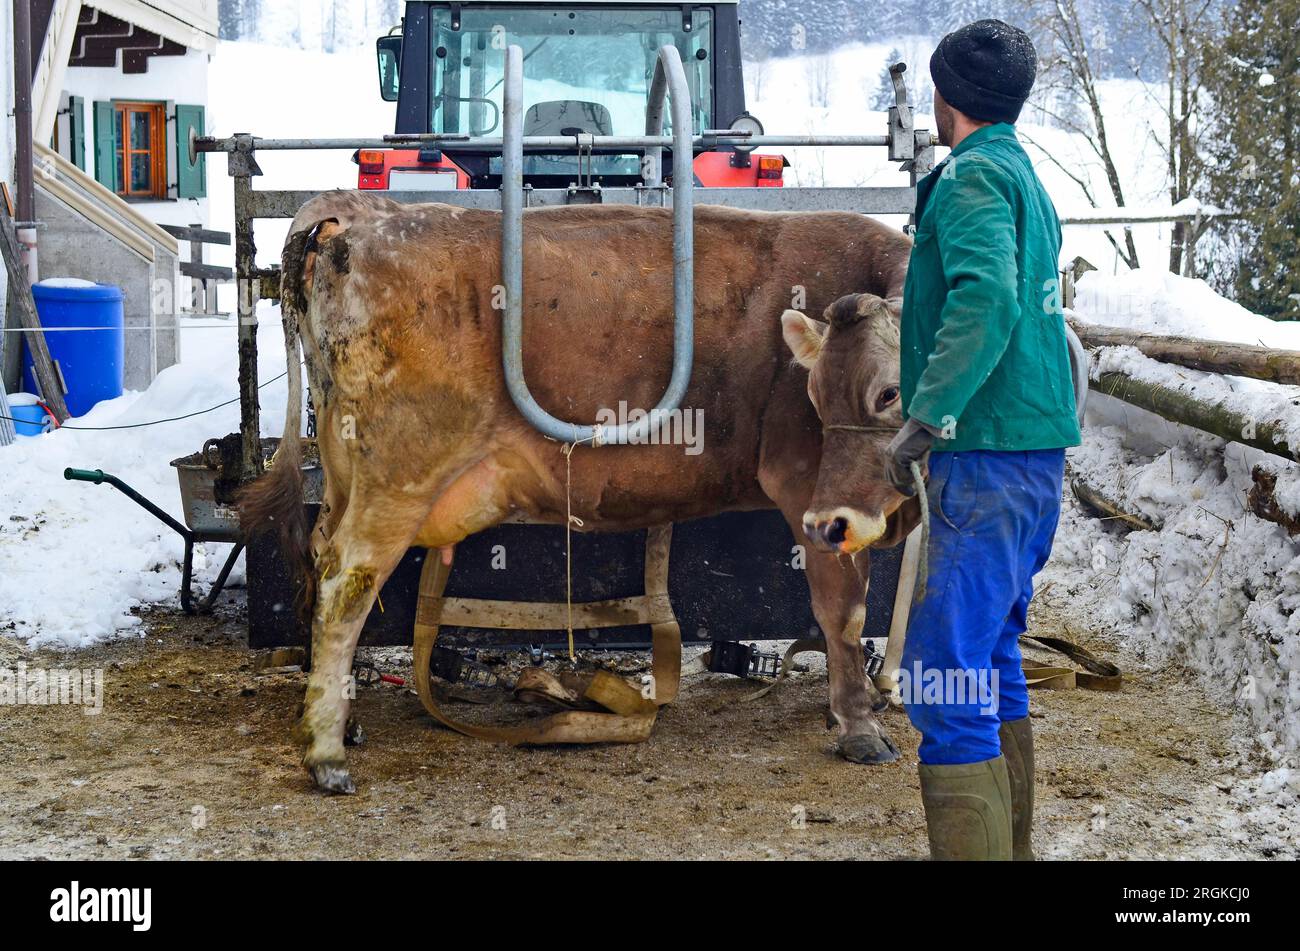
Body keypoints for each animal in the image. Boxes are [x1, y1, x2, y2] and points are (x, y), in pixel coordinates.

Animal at [240, 192, 919, 793]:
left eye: (889, 393)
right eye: (815, 397)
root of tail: (361, 211)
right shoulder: (810, 489)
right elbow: (844, 611)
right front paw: (859, 726)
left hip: (343, 466)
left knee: (321, 555)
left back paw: (339, 717)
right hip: (400, 470)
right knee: (346, 584)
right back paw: (326, 752)